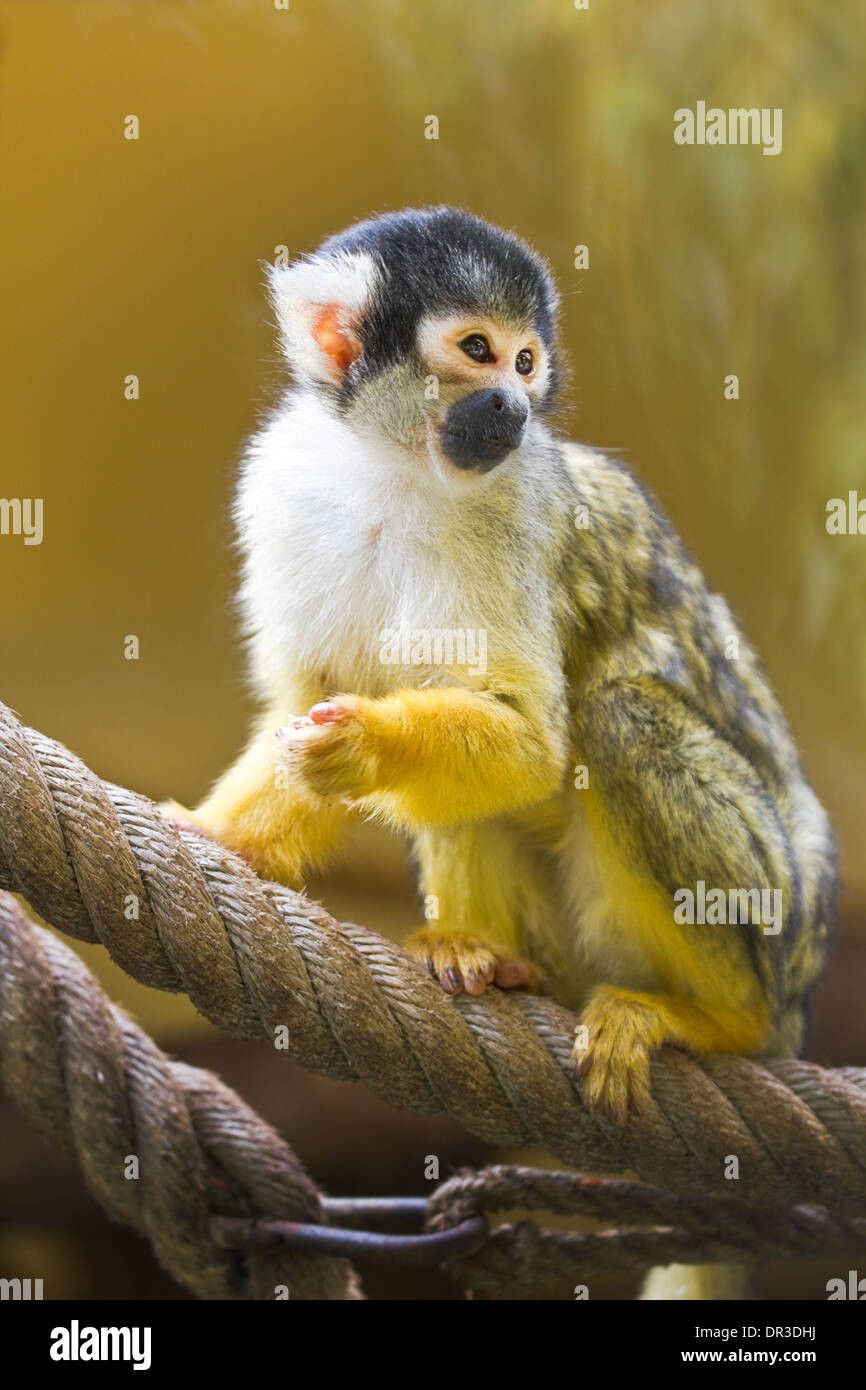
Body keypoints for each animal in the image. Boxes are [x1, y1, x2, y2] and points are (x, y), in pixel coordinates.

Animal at [167, 205, 836, 1127]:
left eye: (527, 361)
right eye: (478, 349)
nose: (514, 404)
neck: (399, 467)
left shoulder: (514, 505)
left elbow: (529, 739)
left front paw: (363, 745)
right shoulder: (285, 486)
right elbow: (308, 702)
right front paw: (222, 836)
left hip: (774, 915)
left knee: (619, 717)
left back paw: (713, 1018)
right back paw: (479, 952)